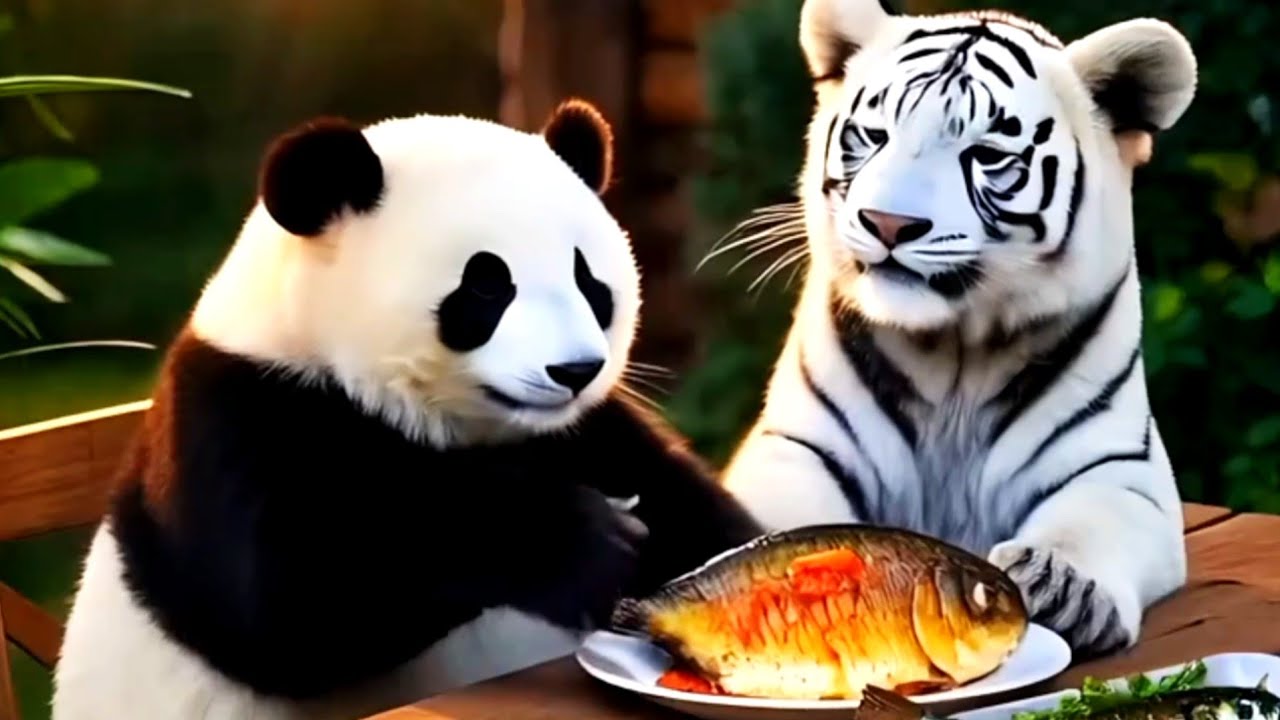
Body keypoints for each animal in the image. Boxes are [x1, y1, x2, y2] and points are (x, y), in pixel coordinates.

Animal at [51, 98, 763, 720]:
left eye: (590, 283)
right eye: (486, 286)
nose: (576, 371)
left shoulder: (586, 433)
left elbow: (690, 507)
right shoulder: (244, 414)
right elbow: (289, 606)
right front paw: (592, 543)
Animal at [719, 0, 1198, 658]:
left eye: (987, 154)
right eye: (874, 136)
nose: (887, 222)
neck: (954, 351)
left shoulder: (1121, 469)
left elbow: (1091, 523)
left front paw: (1061, 585)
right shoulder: (794, 447)